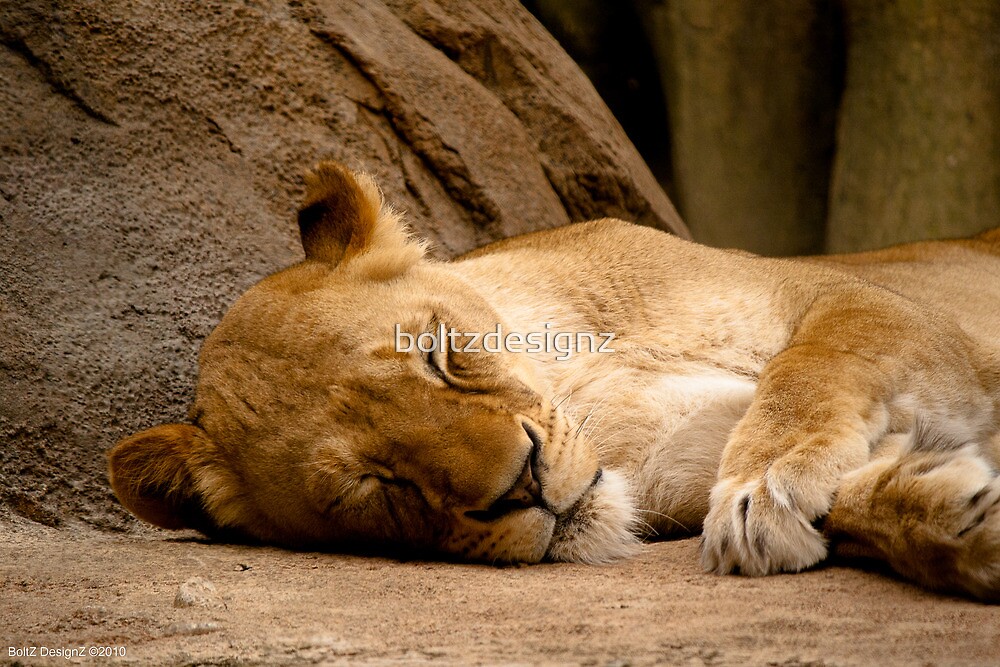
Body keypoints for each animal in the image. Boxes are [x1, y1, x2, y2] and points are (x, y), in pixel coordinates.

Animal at [109, 162, 1000, 600]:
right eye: (369, 486)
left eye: (438, 352)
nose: (524, 484)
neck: (587, 388)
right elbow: (854, 499)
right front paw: (960, 517)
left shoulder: (863, 297)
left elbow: (813, 365)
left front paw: (770, 481)